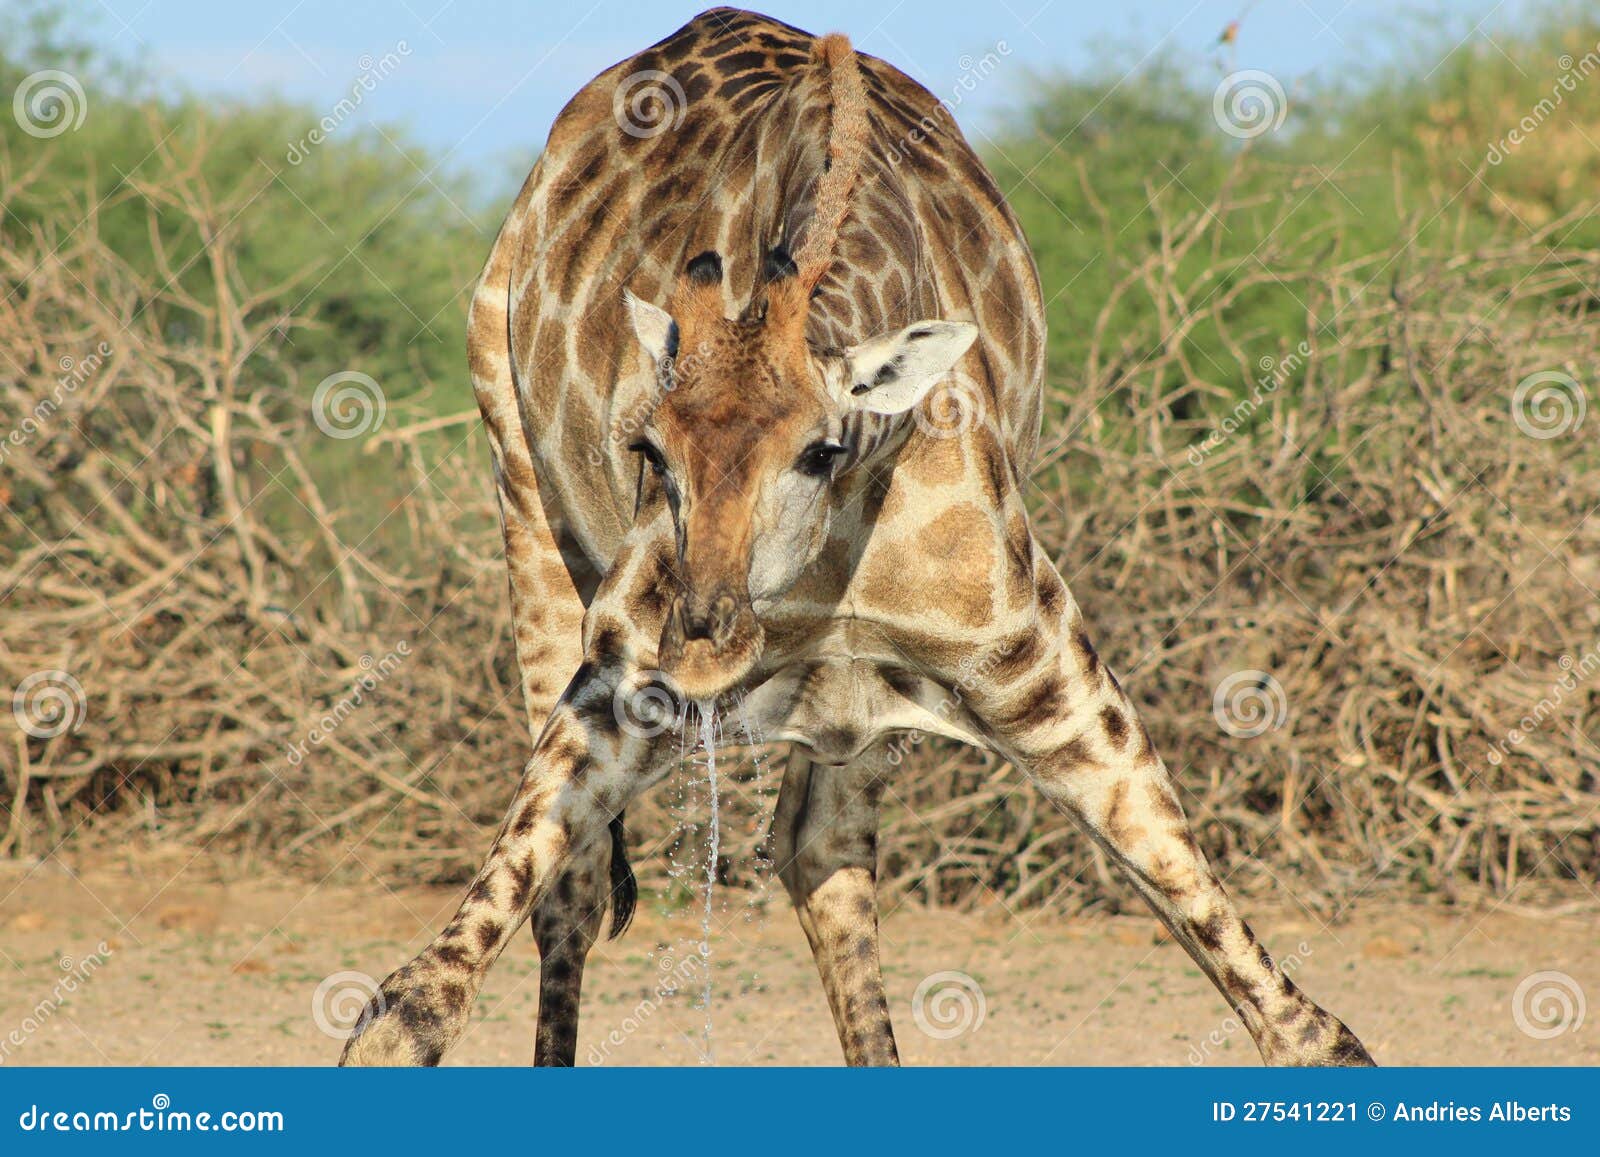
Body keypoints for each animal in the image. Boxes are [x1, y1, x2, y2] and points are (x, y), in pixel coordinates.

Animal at [340, 7, 1373, 1068]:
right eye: (648, 449)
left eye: (818, 449)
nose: (694, 640)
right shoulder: (617, 673)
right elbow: (410, 1004)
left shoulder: (1034, 660)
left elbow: (1302, 1019)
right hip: (526, 504)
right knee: (580, 892)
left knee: (816, 851)